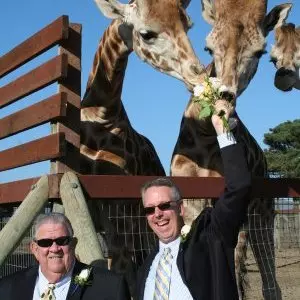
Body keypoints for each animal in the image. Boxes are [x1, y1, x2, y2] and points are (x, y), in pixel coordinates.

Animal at [171, 1, 292, 298]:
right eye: (207, 48)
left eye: (260, 52)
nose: (224, 97)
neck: (204, 139)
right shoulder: (190, 200)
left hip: (262, 214)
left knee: (268, 282)